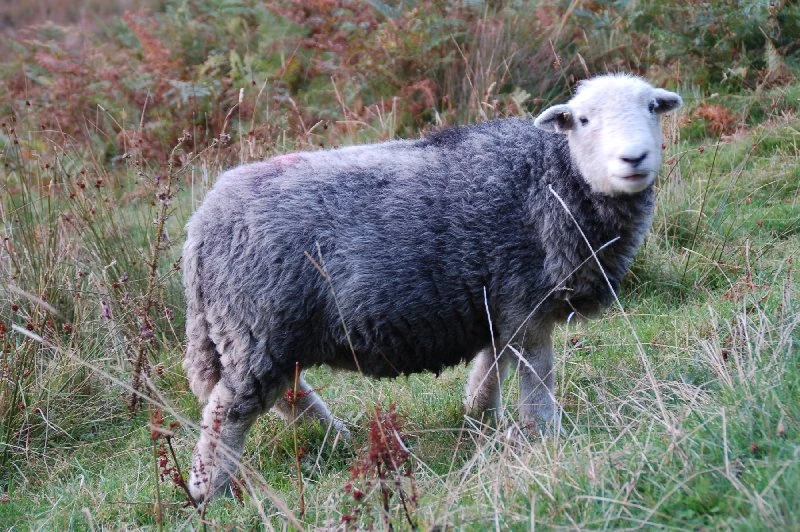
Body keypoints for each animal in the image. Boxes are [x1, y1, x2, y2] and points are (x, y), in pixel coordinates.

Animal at [183, 73, 682, 503]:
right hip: (257, 325)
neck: (553, 177)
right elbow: (536, 376)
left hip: (272, 331)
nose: (633, 159)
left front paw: (479, 417)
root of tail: (200, 226)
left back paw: (335, 435)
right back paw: (209, 489)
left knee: (286, 393)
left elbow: (492, 362)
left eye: (652, 108)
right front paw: (546, 436)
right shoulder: (526, 300)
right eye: (583, 120)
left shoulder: (499, 301)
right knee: (228, 410)